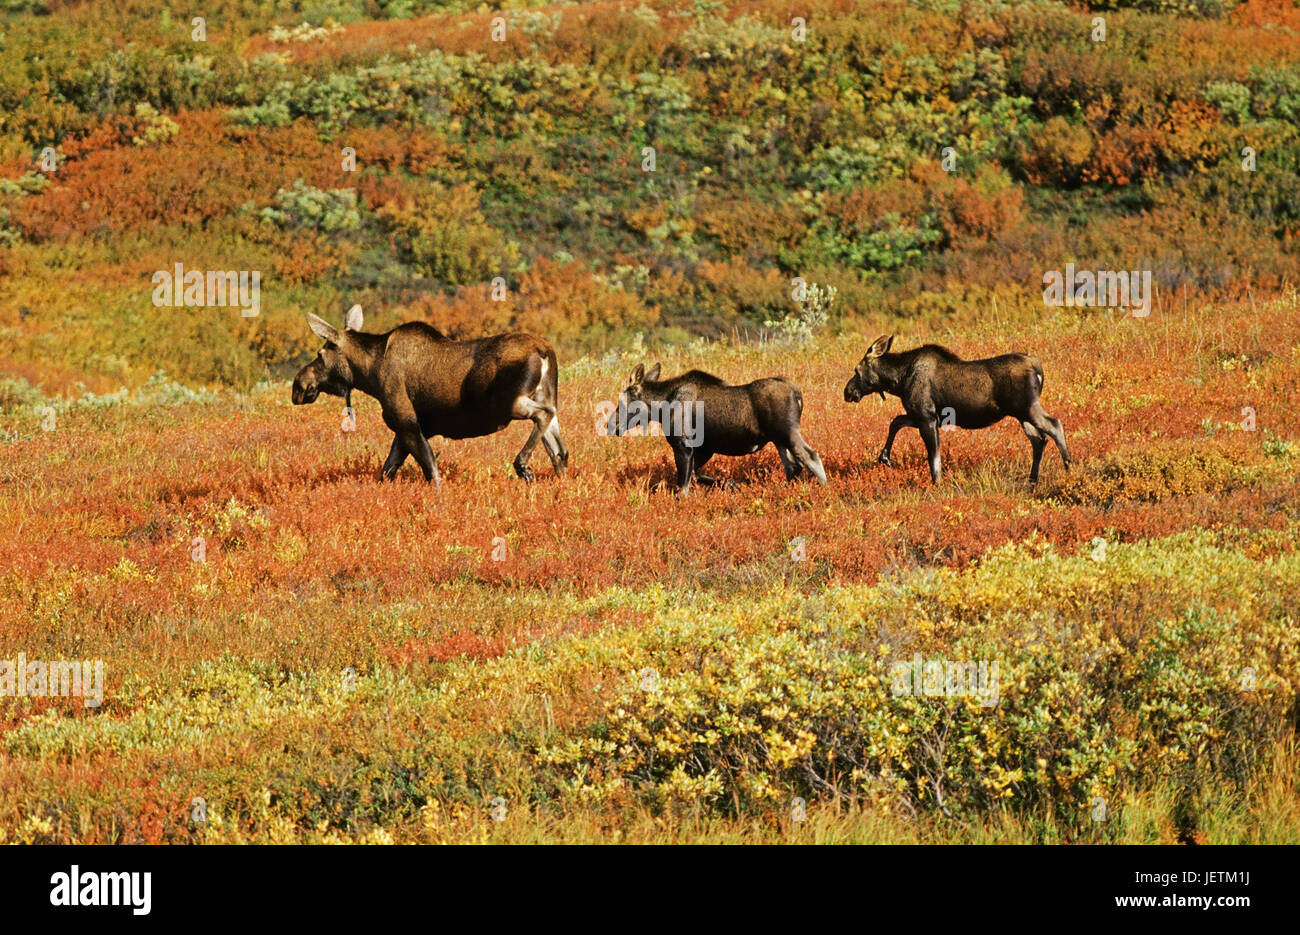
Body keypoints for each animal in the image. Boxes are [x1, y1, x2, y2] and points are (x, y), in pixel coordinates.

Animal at [291, 306, 568, 487]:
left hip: (509, 403)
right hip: (543, 394)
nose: (299, 385)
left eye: (319, 354)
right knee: (559, 446)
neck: (370, 374)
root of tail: (545, 351)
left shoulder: (408, 423)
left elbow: (431, 471)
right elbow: (387, 471)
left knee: (544, 416)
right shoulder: (406, 429)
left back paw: (523, 466)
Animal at [843, 335, 1070, 485]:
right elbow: (896, 422)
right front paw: (885, 457)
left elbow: (933, 458)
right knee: (1039, 439)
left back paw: (1068, 468)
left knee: (1054, 425)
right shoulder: (920, 415)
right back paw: (1033, 479)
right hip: (1021, 414)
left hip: (1027, 407)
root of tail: (1038, 368)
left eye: (856, 370)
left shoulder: (926, 417)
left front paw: (937, 485)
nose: (847, 391)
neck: (898, 381)